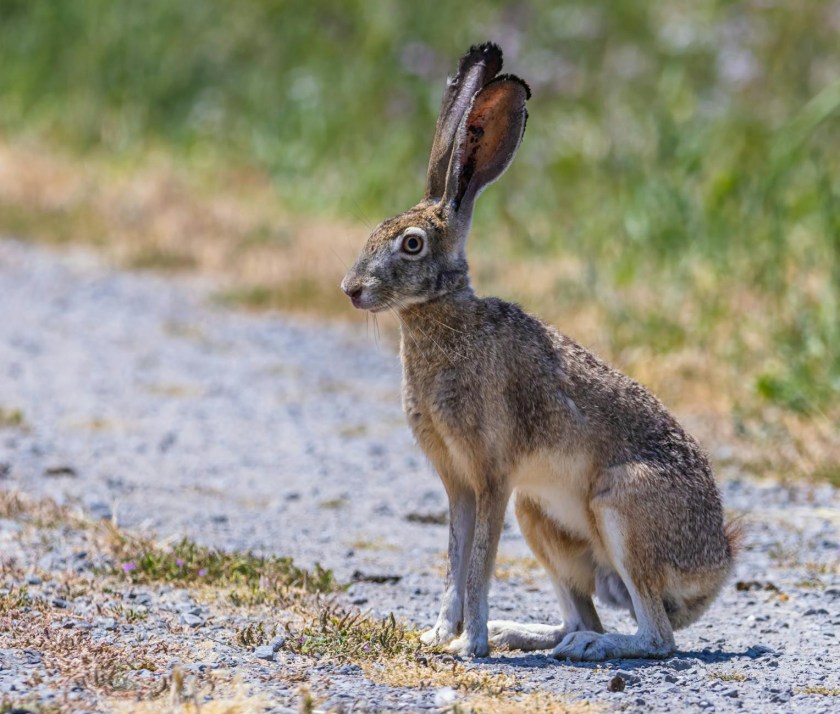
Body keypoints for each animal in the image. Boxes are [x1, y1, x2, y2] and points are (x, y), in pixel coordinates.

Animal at [340, 42, 740, 660]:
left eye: (411, 244)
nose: (352, 290)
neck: (443, 319)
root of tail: (716, 566)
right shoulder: (458, 481)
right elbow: (454, 562)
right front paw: (438, 636)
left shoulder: (492, 473)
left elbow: (477, 566)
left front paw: (468, 645)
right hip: (538, 512)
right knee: (584, 613)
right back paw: (532, 635)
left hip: (620, 507)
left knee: (657, 638)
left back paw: (588, 648)